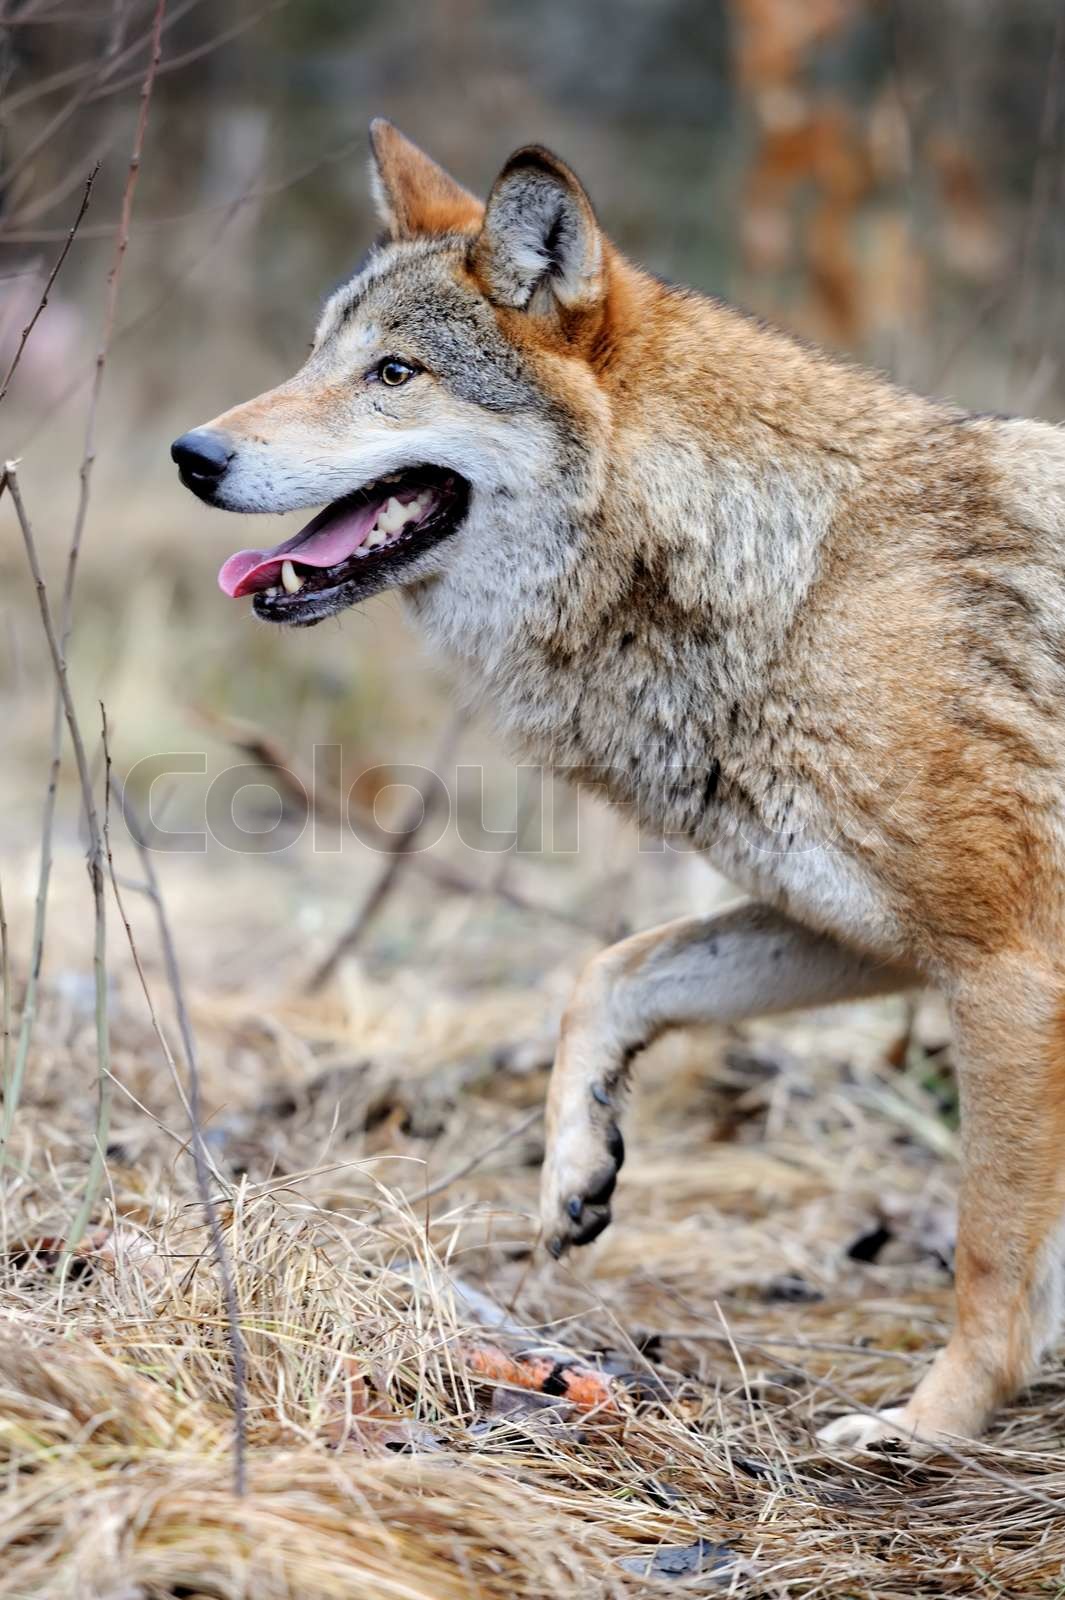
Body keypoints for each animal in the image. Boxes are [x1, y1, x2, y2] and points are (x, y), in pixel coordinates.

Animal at [172, 120, 1065, 1455]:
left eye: (395, 372)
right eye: (316, 355)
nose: (193, 454)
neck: (796, 572)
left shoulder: (1010, 967)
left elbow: (993, 1257)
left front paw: (931, 1424)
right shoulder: (868, 933)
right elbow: (611, 972)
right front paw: (575, 1164)